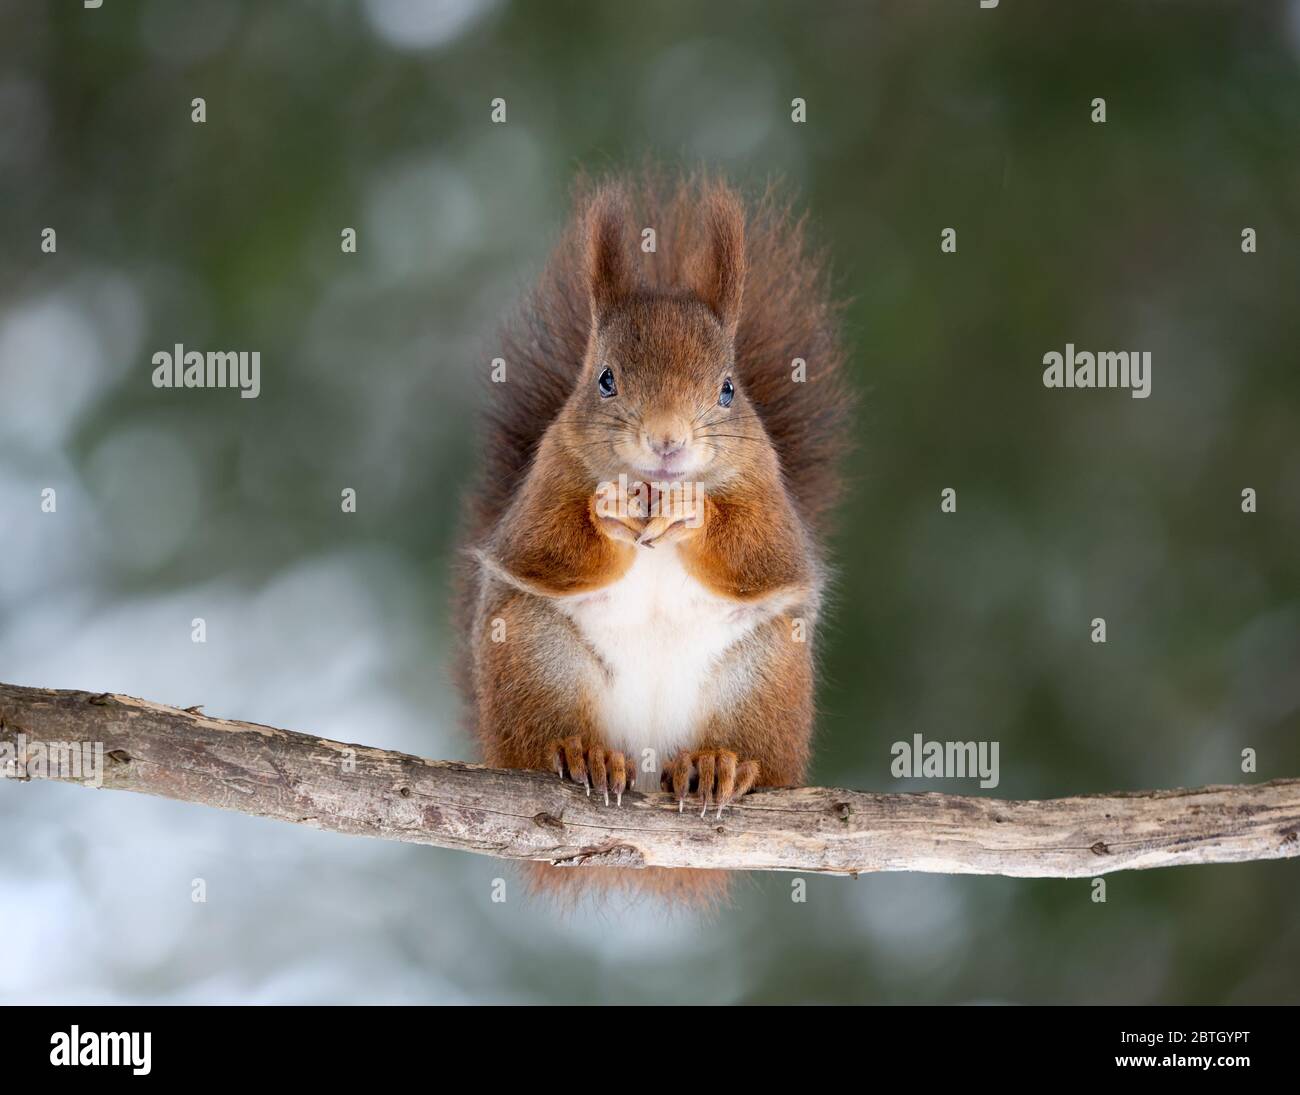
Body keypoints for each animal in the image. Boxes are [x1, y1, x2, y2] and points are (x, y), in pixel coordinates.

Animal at [455, 170, 852, 904]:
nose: (667, 443)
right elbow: (549, 545)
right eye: (605, 379)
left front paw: (696, 513)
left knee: (758, 756)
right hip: (531, 655)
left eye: (727, 389)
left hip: (766, 676)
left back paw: (721, 763)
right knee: (538, 741)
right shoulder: (546, 483)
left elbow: (758, 553)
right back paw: (581, 752)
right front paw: (606, 512)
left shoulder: (769, 497)